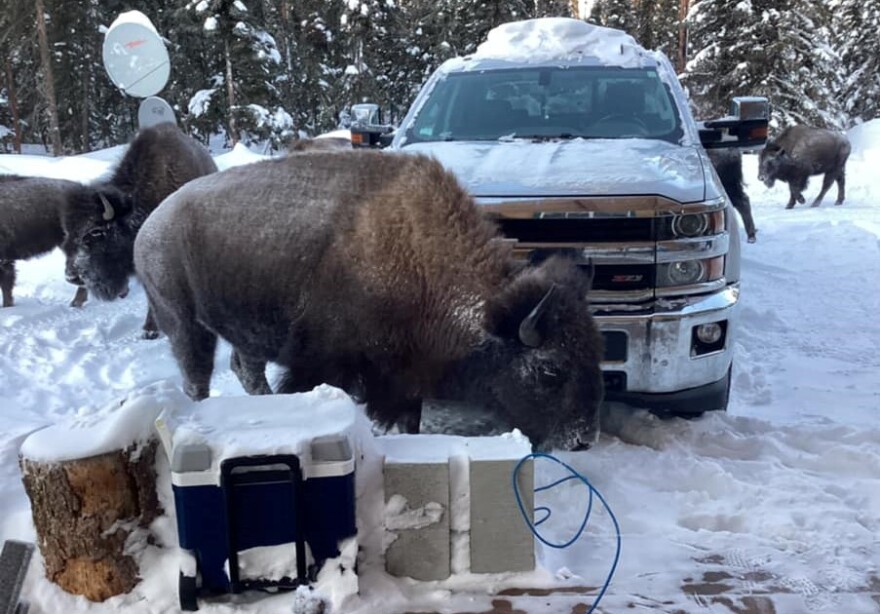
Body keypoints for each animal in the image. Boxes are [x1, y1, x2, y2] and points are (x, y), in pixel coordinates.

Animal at [134, 150, 605, 451]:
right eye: (550, 370)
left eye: (594, 354)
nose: (581, 439)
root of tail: (150, 226)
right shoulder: (327, 367)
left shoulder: (405, 378)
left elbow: (410, 422)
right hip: (184, 325)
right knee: (197, 379)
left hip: (245, 335)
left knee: (246, 371)